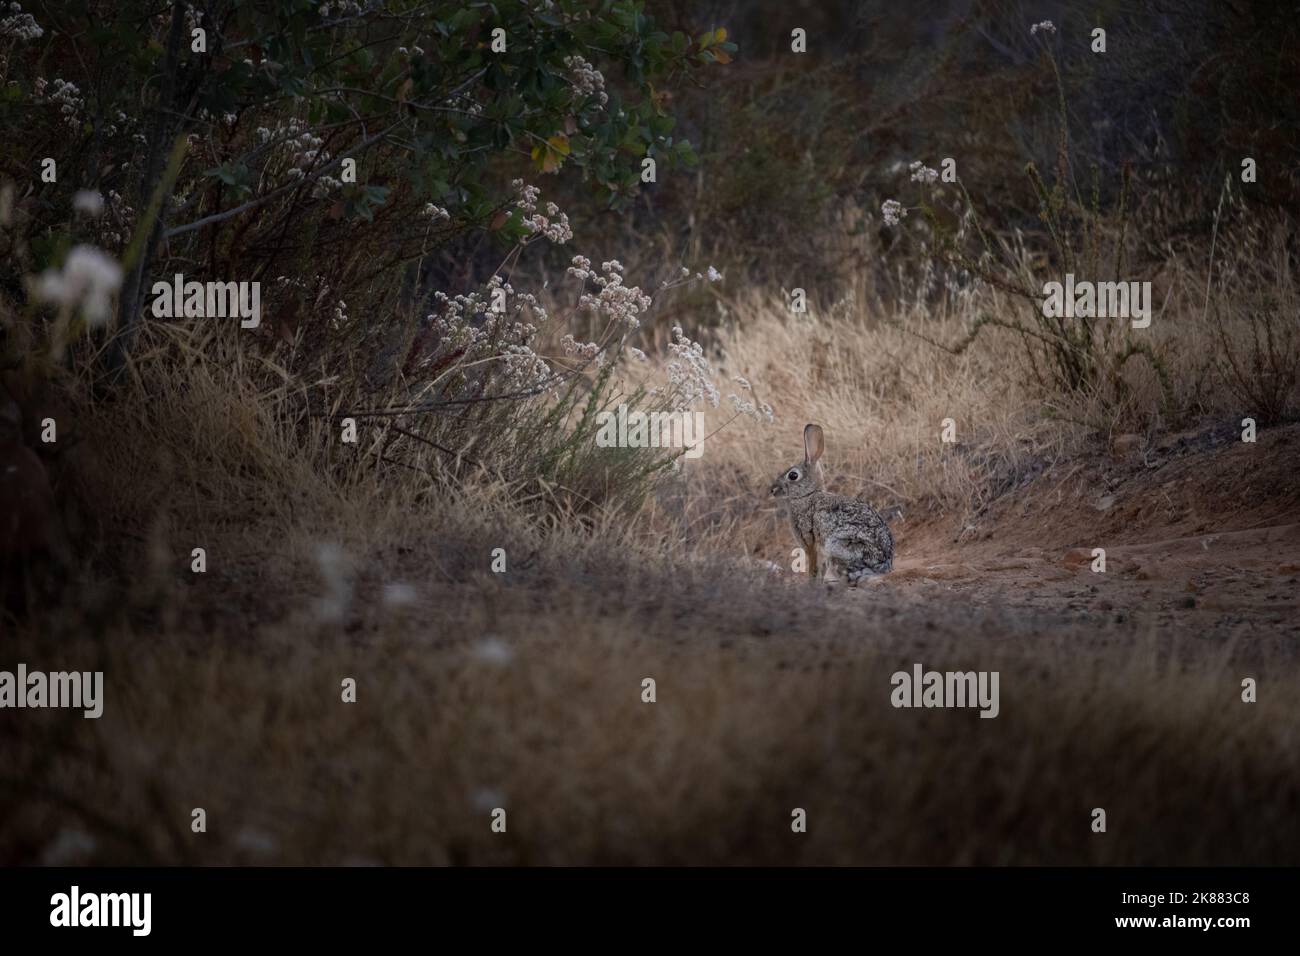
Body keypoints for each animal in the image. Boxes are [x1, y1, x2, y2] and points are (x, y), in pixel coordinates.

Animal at [769, 423, 894, 584]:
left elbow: (813, 565)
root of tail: (882, 565)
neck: (807, 495)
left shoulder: (809, 541)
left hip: (839, 547)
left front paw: (811, 583)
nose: (772, 490)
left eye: (793, 475)